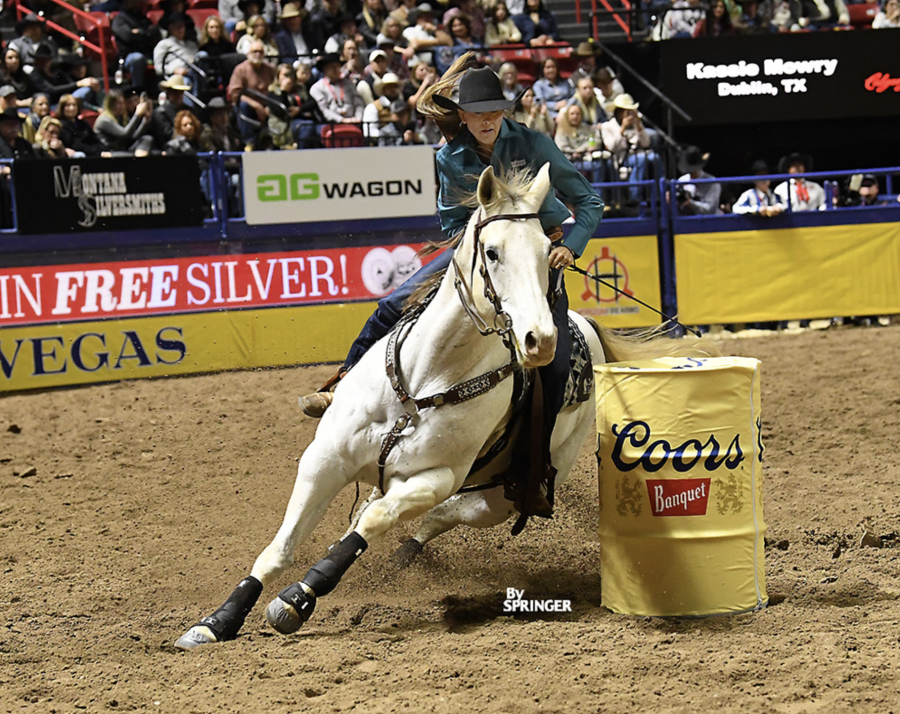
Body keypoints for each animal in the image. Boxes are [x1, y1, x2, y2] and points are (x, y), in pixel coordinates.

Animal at [175, 163, 705, 650]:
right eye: (492, 252)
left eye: (546, 252)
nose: (539, 340)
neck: (425, 381)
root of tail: (587, 328)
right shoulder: (325, 459)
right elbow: (281, 547)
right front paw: (217, 621)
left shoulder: (436, 478)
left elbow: (375, 522)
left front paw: (297, 598)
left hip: (501, 496)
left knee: (435, 517)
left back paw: (401, 555)